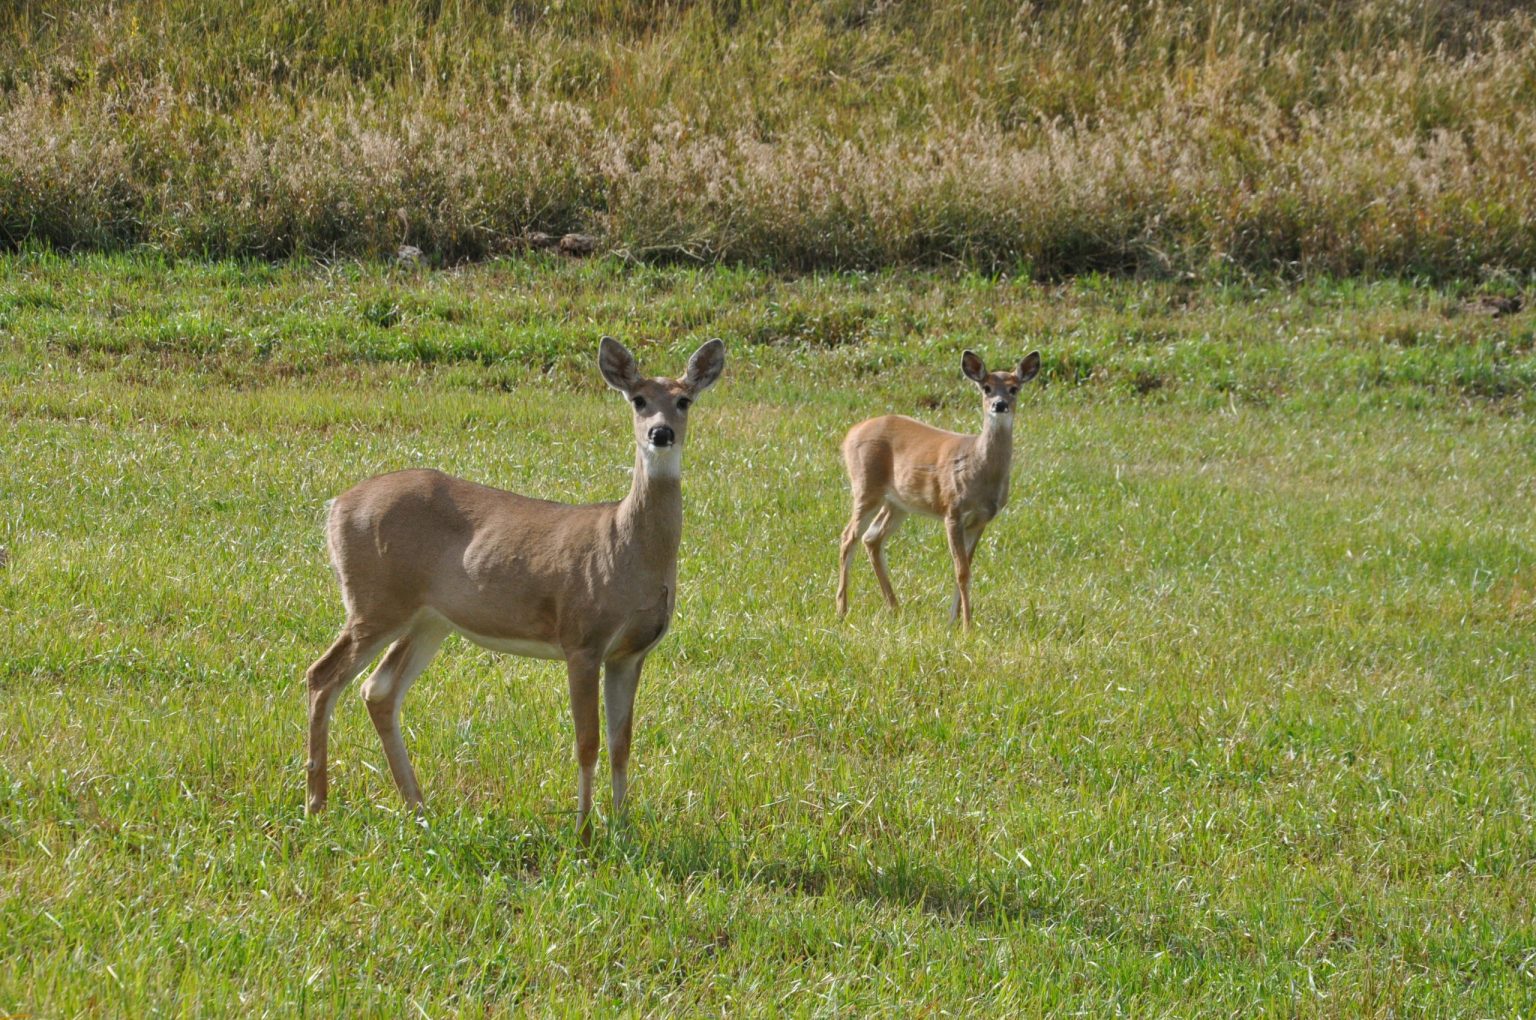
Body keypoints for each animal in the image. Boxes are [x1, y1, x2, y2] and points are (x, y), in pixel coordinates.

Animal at [303, 336, 725, 841]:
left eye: (684, 400)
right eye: (638, 400)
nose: (660, 434)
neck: (628, 549)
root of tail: (334, 507)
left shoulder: (630, 653)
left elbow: (622, 742)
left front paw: (623, 829)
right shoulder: (582, 637)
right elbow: (587, 741)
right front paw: (583, 834)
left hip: (429, 619)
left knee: (378, 689)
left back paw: (418, 806)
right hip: (375, 600)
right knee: (322, 675)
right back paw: (316, 804)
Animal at [836, 349, 1041, 628]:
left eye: (1014, 388)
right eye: (986, 388)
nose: (1000, 405)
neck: (978, 467)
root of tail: (850, 434)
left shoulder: (981, 520)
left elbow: (966, 566)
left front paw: (953, 620)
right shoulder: (952, 510)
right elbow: (962, 570)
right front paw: (967, 626)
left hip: (898, 502)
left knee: (872, 537)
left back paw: (894, 607)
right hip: (866, 485)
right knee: (849, 537)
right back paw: (842, 609)